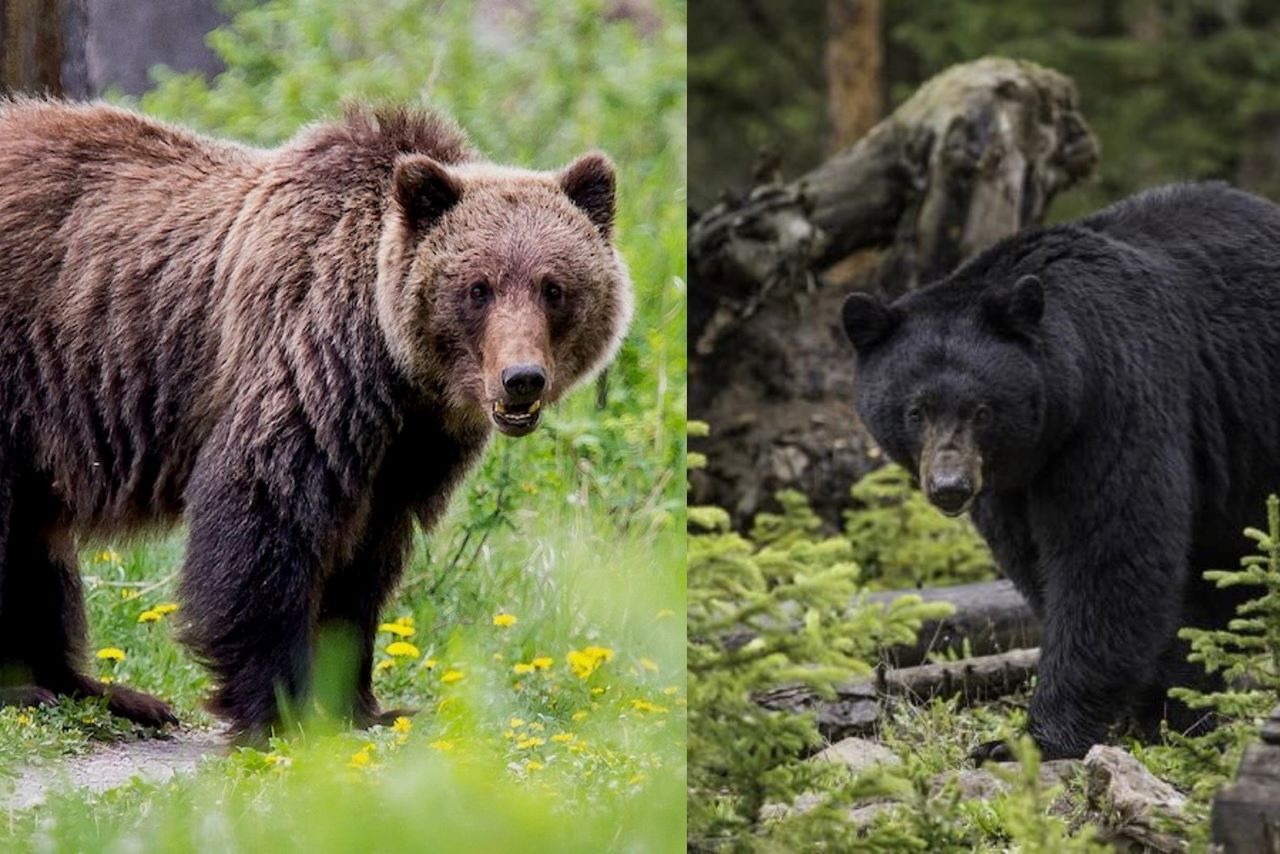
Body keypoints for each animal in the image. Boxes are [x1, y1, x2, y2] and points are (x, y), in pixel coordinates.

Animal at [0, 99, 632, 738]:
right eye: (478, 287)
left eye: (554, 287)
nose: (521, 377)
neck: (395, 367)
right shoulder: (308, 364)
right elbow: (264, 516)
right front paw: (280, 710)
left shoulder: (407, 448)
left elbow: (364, 566)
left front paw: (364, 705)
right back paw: (44, 691)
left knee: (35, 548)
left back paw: (97, 690)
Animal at [840, 182, 1280, 760]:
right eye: (915, 411)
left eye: (982, 410)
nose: (950, 488)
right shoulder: (1010, 484)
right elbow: (1036, 561)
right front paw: (1167, 709)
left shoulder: (1116, 402)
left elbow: (1107, 555)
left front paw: (1033, 738)